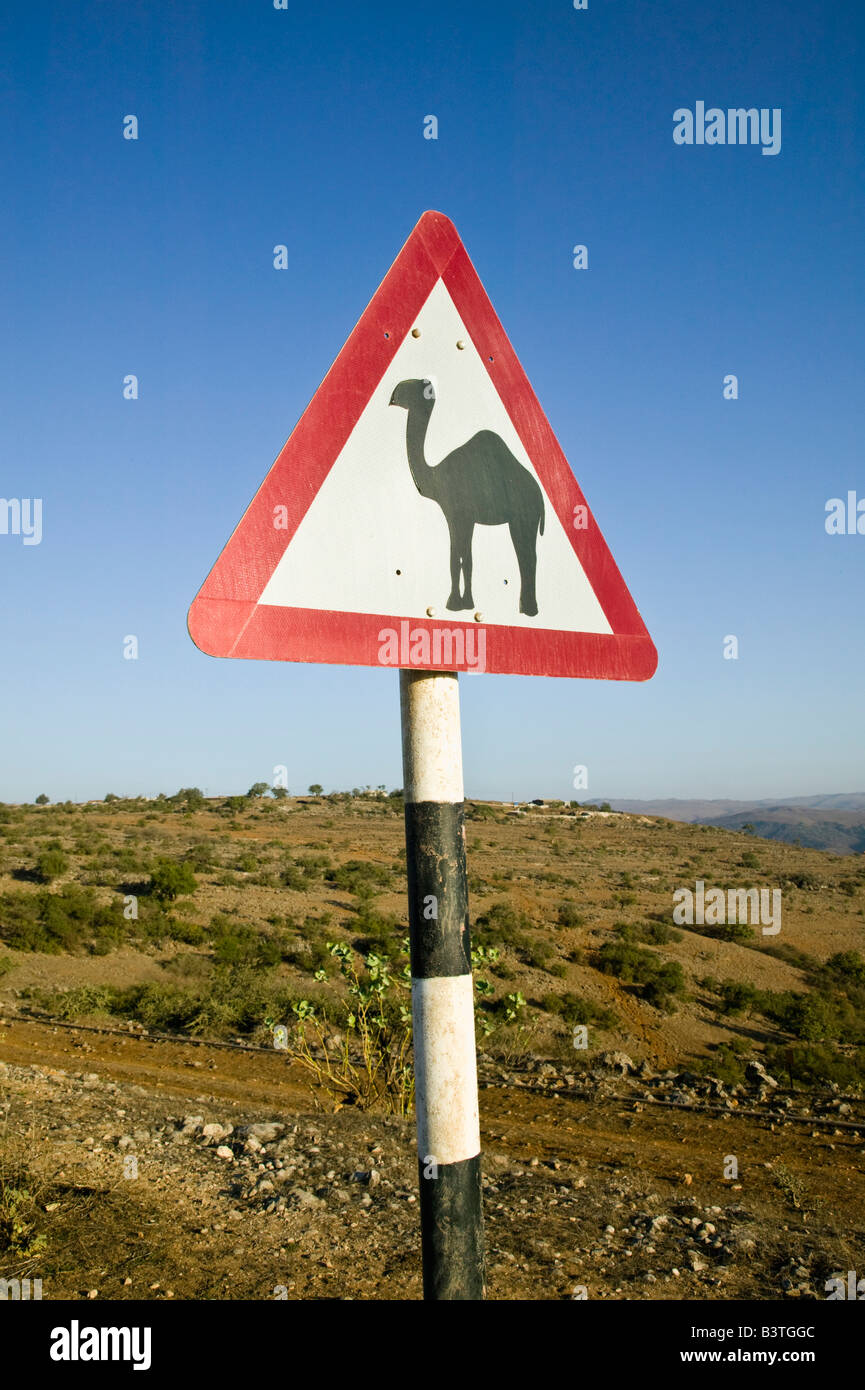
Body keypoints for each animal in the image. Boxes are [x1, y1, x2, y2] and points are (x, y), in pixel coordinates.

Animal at [389, 378, 545, 616]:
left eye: (414, 388)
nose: (393, 396)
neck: (436, 473)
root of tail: (540, 494)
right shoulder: (464, 518)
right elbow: (465, 557)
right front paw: (466, 603)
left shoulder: (457, 512)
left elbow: (457, 557)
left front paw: (454, 604)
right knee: (526, 556)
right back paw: (526, 608)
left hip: (525, 513)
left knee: (527, 555)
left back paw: (528, 609)